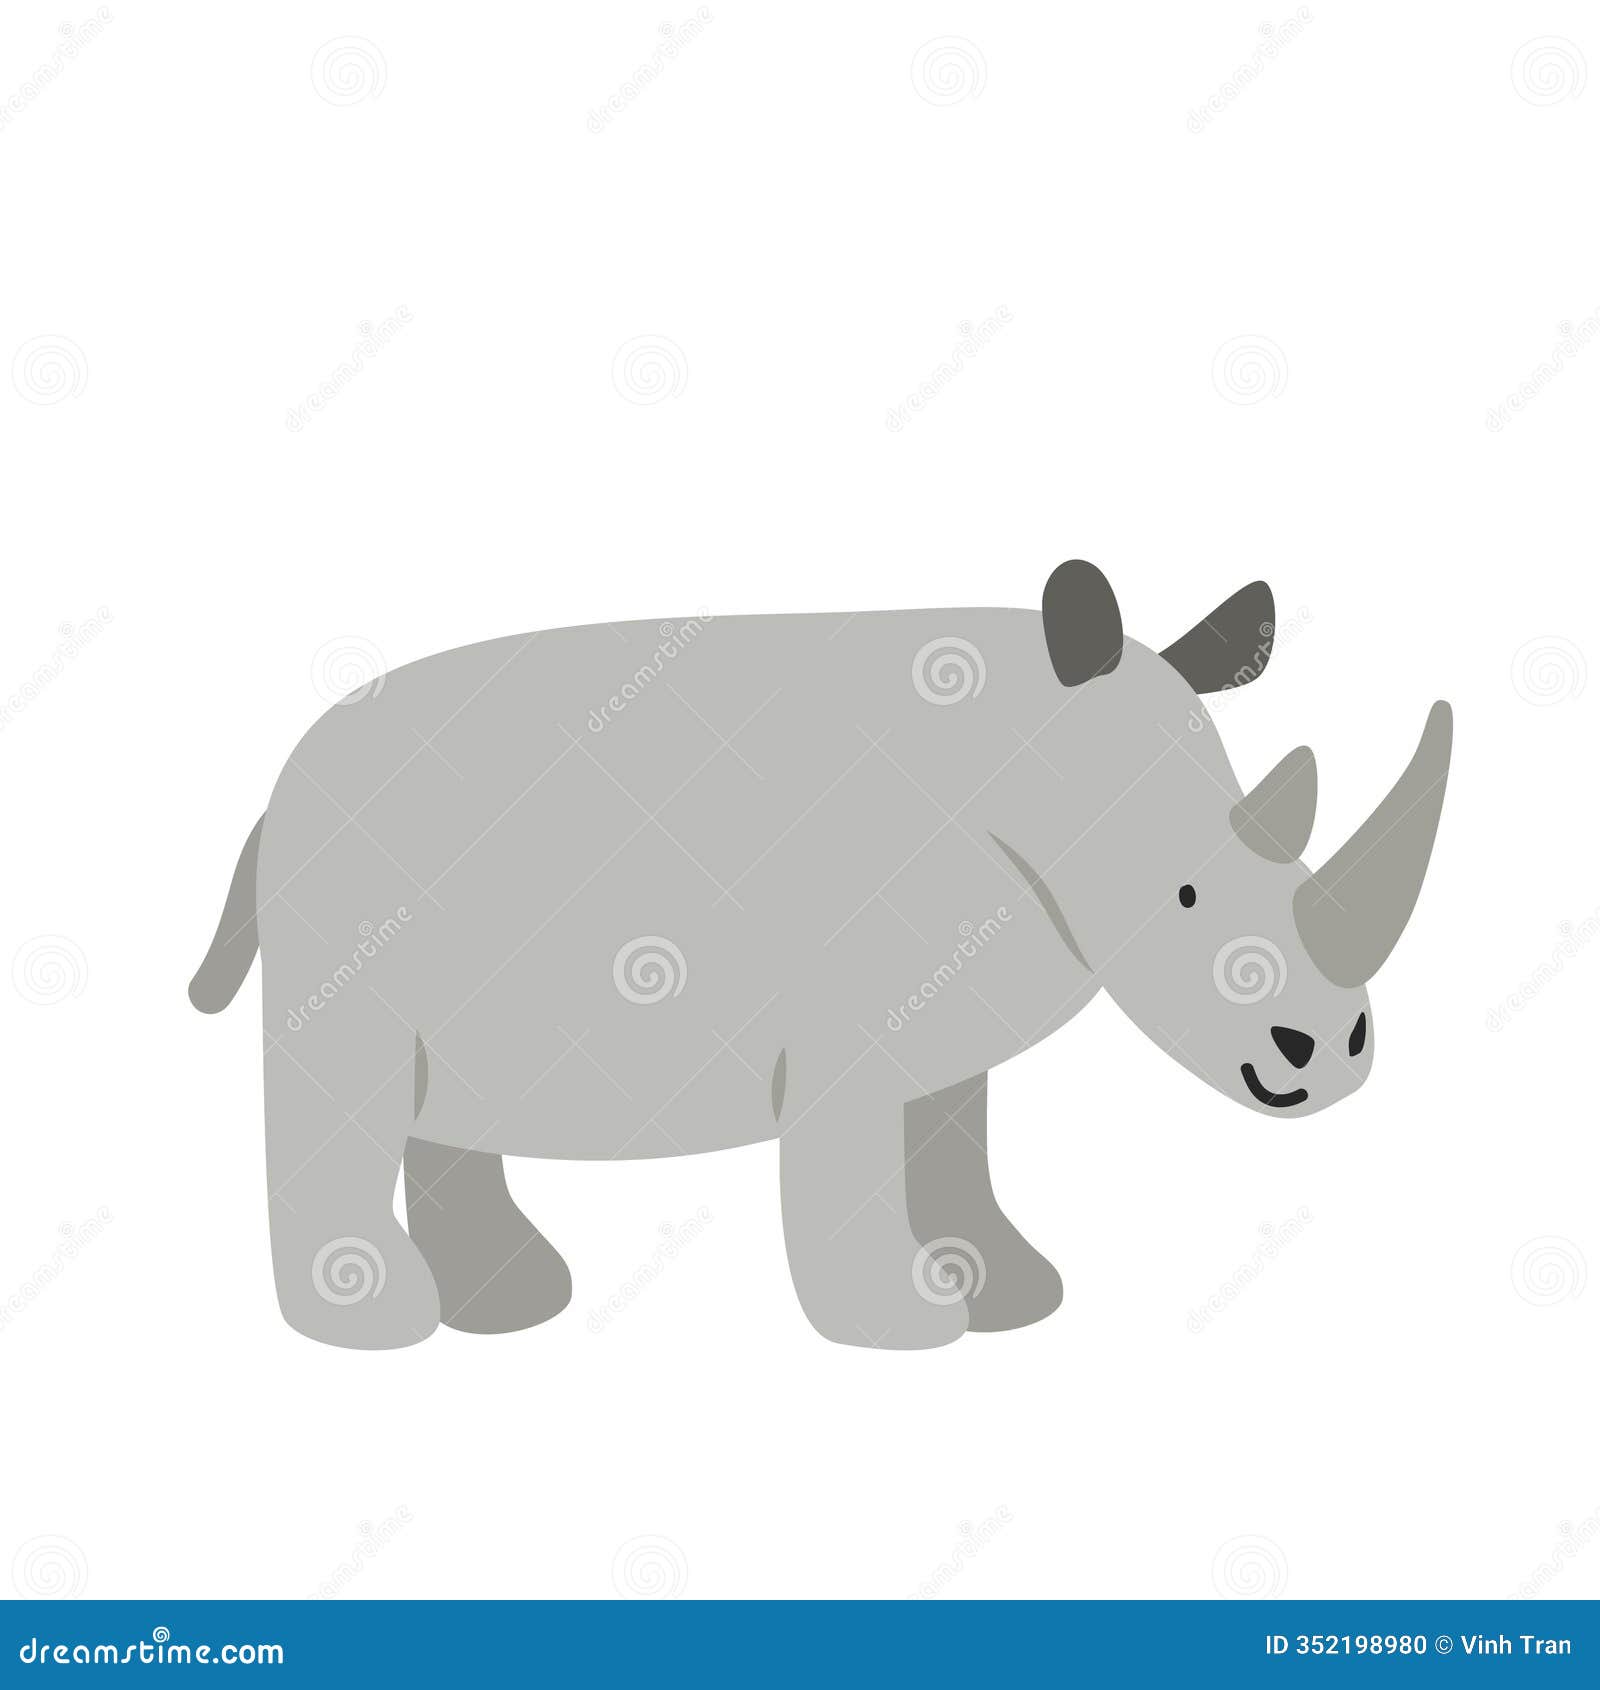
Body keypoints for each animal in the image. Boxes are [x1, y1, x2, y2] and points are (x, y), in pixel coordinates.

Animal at [190, 562, 1451, 1350]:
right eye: (1183, 894)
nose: (1328, 1049)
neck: (1042, 769)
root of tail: (274, 794)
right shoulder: (847, 1018)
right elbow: (851, 1160)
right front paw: (905, 1324)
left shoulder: (955, 1004)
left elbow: (951, 1141)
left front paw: (1012, 1294)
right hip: (342, 887)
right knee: (352, 1076)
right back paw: (379, 1320)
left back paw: (513, 1305)